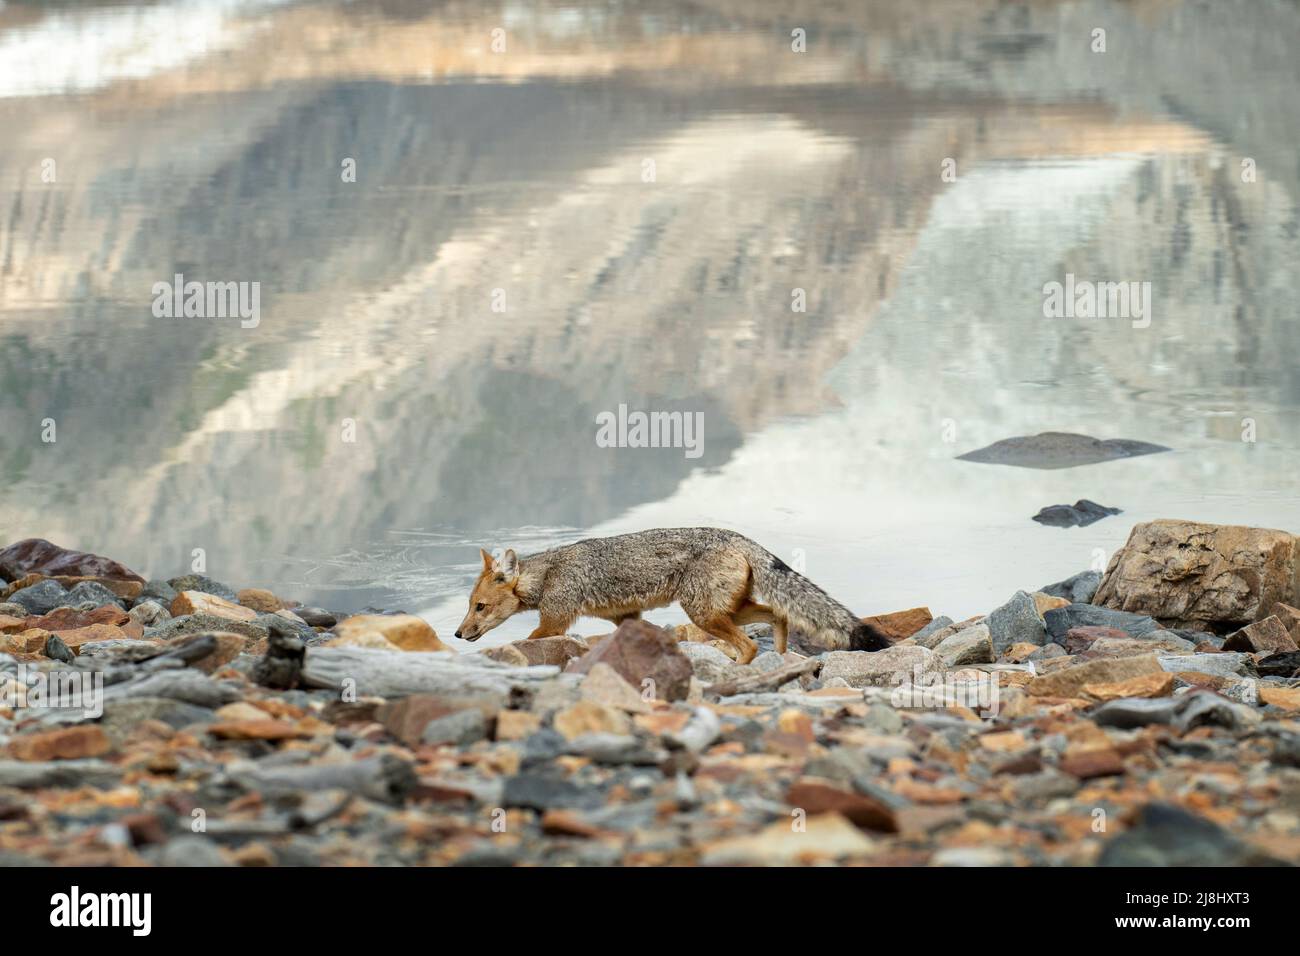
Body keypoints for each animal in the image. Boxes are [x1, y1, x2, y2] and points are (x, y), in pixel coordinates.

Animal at [454, 527, 890, 664]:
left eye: (480, 607)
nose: (457, 634)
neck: (549, 572)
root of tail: (739, 537)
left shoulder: (555, 620)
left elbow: (527, 639)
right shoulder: (627, 618)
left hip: (704, 614)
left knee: (750, 643)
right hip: (727, 610)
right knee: (778, 614)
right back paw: (780, 659)